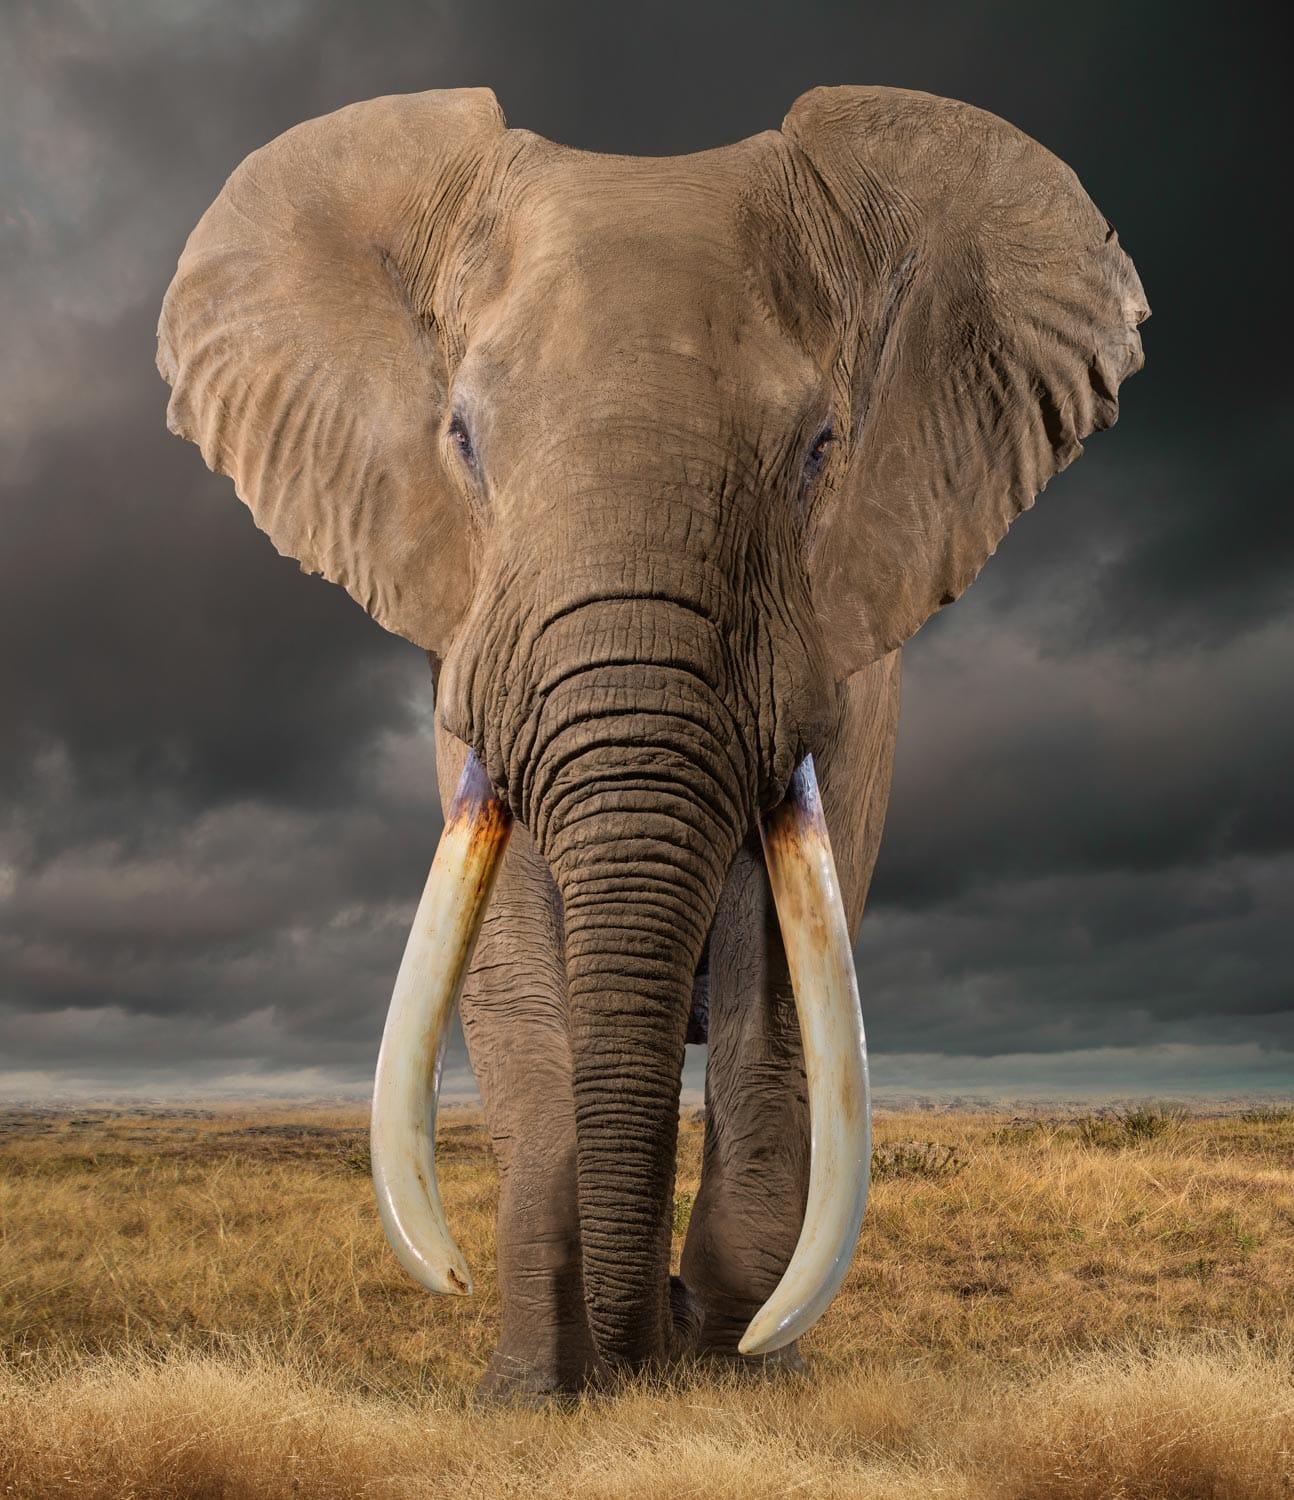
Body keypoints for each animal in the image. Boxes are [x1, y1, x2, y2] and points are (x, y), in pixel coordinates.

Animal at [157, 84, 1147, 1400]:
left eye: (820, 449)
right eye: (461, 440)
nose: (659, 1340)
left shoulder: (852, 676)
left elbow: (774, 993)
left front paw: (735, 1377)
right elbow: (517, 974)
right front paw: (534, 1397)